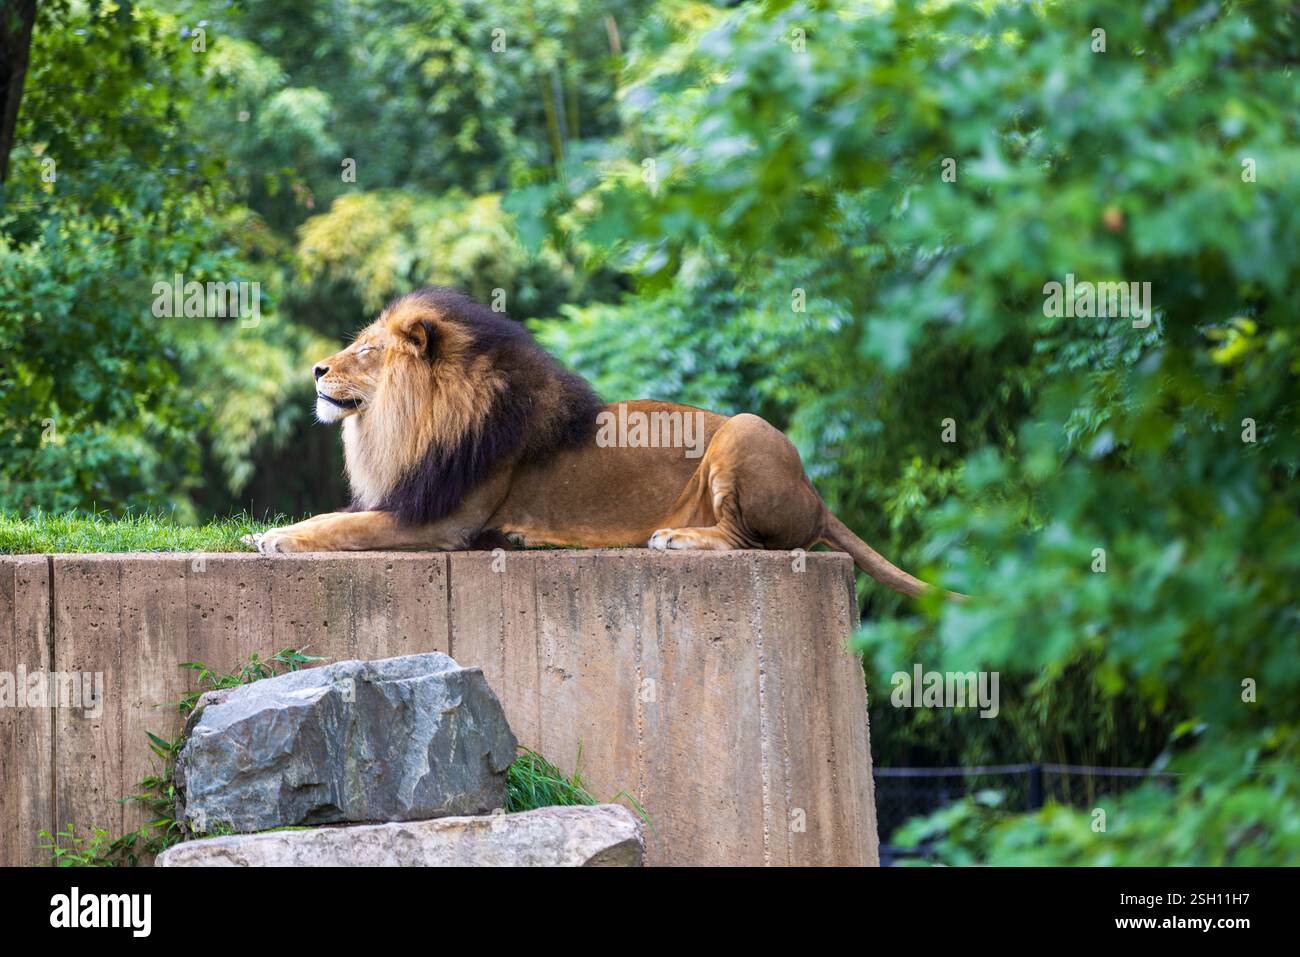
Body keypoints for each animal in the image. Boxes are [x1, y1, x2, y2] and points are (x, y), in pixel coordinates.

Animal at [246, 286, 949, 598]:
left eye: (366, 351)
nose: (316, 370)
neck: (409, 421)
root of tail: (818, 496)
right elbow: (336, 516)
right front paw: (269, 530)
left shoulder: (442, 519)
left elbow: (342, 526)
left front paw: (277, 538)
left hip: (746, 427)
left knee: (756, 541)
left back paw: (679, 539)